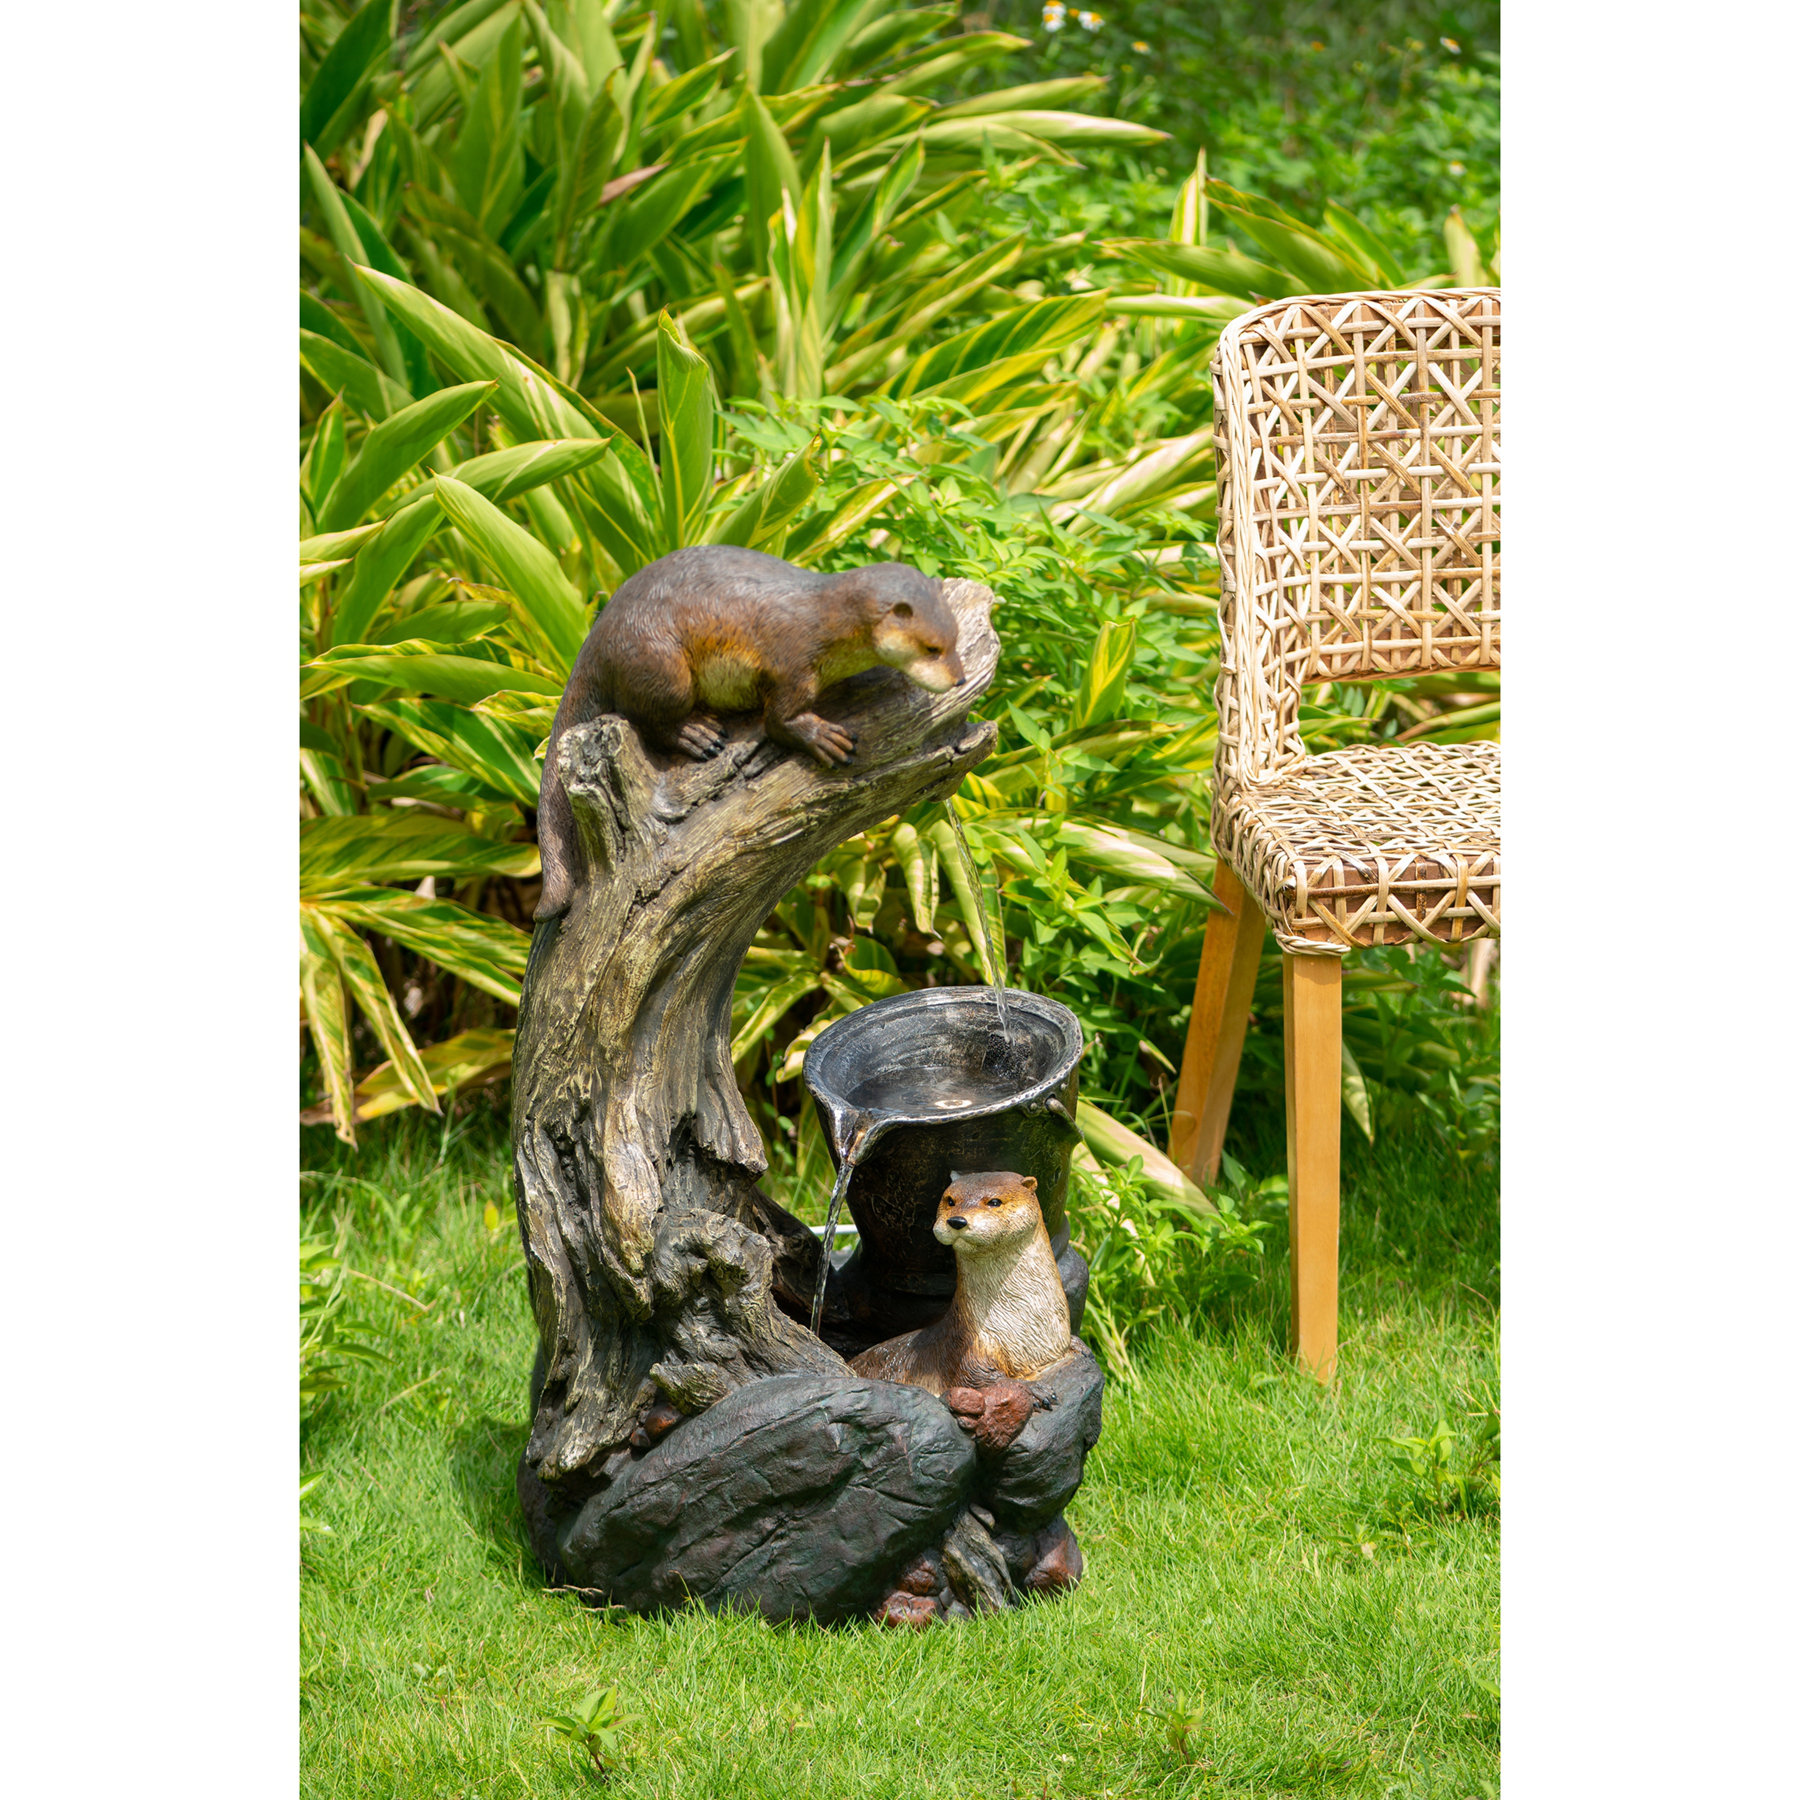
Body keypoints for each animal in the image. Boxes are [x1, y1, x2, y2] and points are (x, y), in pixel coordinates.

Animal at [534, 546, 965, 919]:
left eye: (955, 639)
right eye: (931, 648)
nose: (959, 679)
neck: (826, 624)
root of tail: (598, 632)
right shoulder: (793, 665)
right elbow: (780, 721)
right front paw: (826, 739)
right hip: (659, 661)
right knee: (646, 715)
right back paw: (696, 733)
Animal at [850, 1172, 1074, 1443]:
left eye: (994, 1202)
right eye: (950, 1200)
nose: (957, 1220)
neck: (1022, 1324)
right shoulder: (970, 1347)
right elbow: (977, 1376)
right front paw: (1035, 1388)